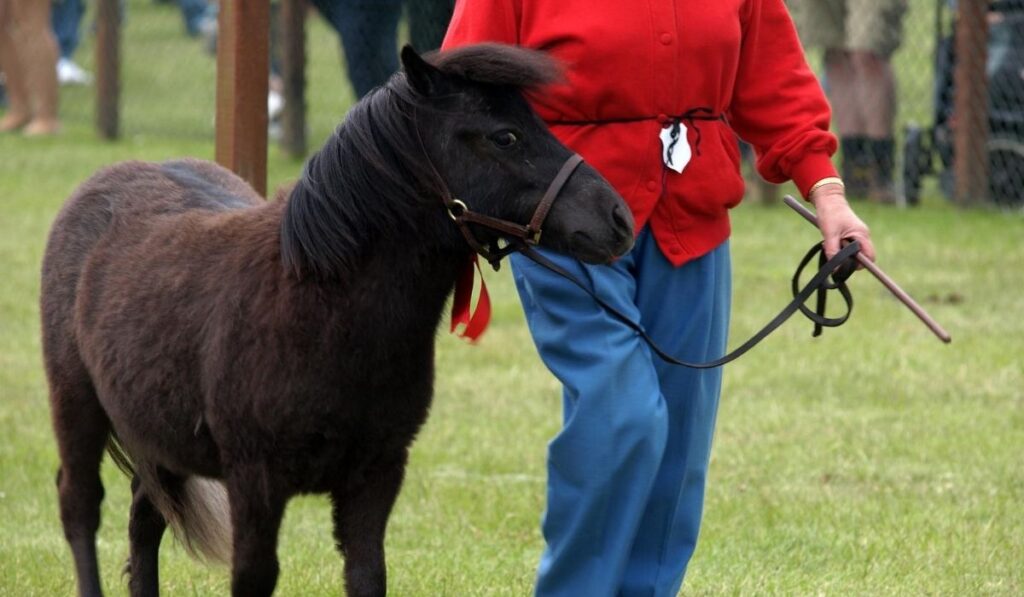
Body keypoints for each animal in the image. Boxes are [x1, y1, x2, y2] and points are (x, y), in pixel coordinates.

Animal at [39, 44, 634, 597]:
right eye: (505, 137)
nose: (618, 220)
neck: (321, 307)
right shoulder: (255, 479)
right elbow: (254, 577)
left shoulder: (376, 474)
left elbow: (368, 574)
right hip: (76, 403)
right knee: (80, 505)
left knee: (145, 518)